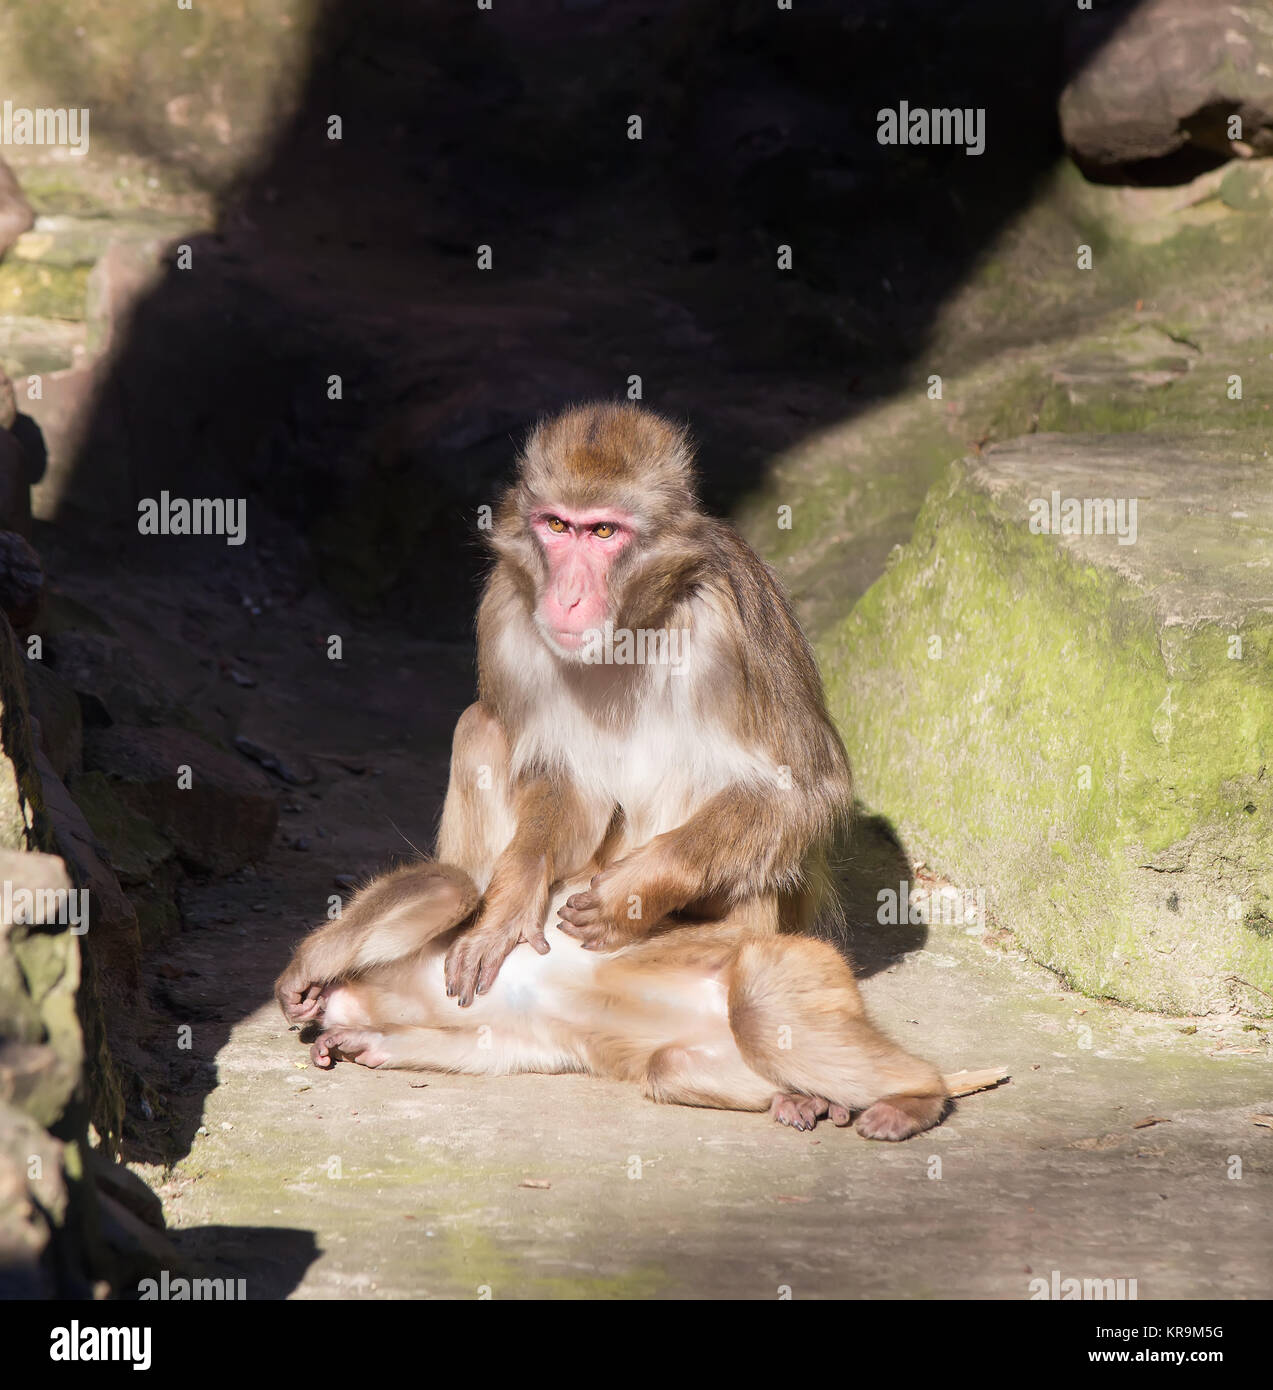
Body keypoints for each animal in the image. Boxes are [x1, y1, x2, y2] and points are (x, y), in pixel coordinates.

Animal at [277, 860, 949, 1140]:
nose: (328, 1006)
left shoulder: (455, 947)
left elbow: (449, 889)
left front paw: (308, 969)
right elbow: (495, 1050)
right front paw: (366, 1042)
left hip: (801, 964)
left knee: (760, 1007)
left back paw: (917, 1097)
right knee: (671, 1065)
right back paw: (806, 1099)